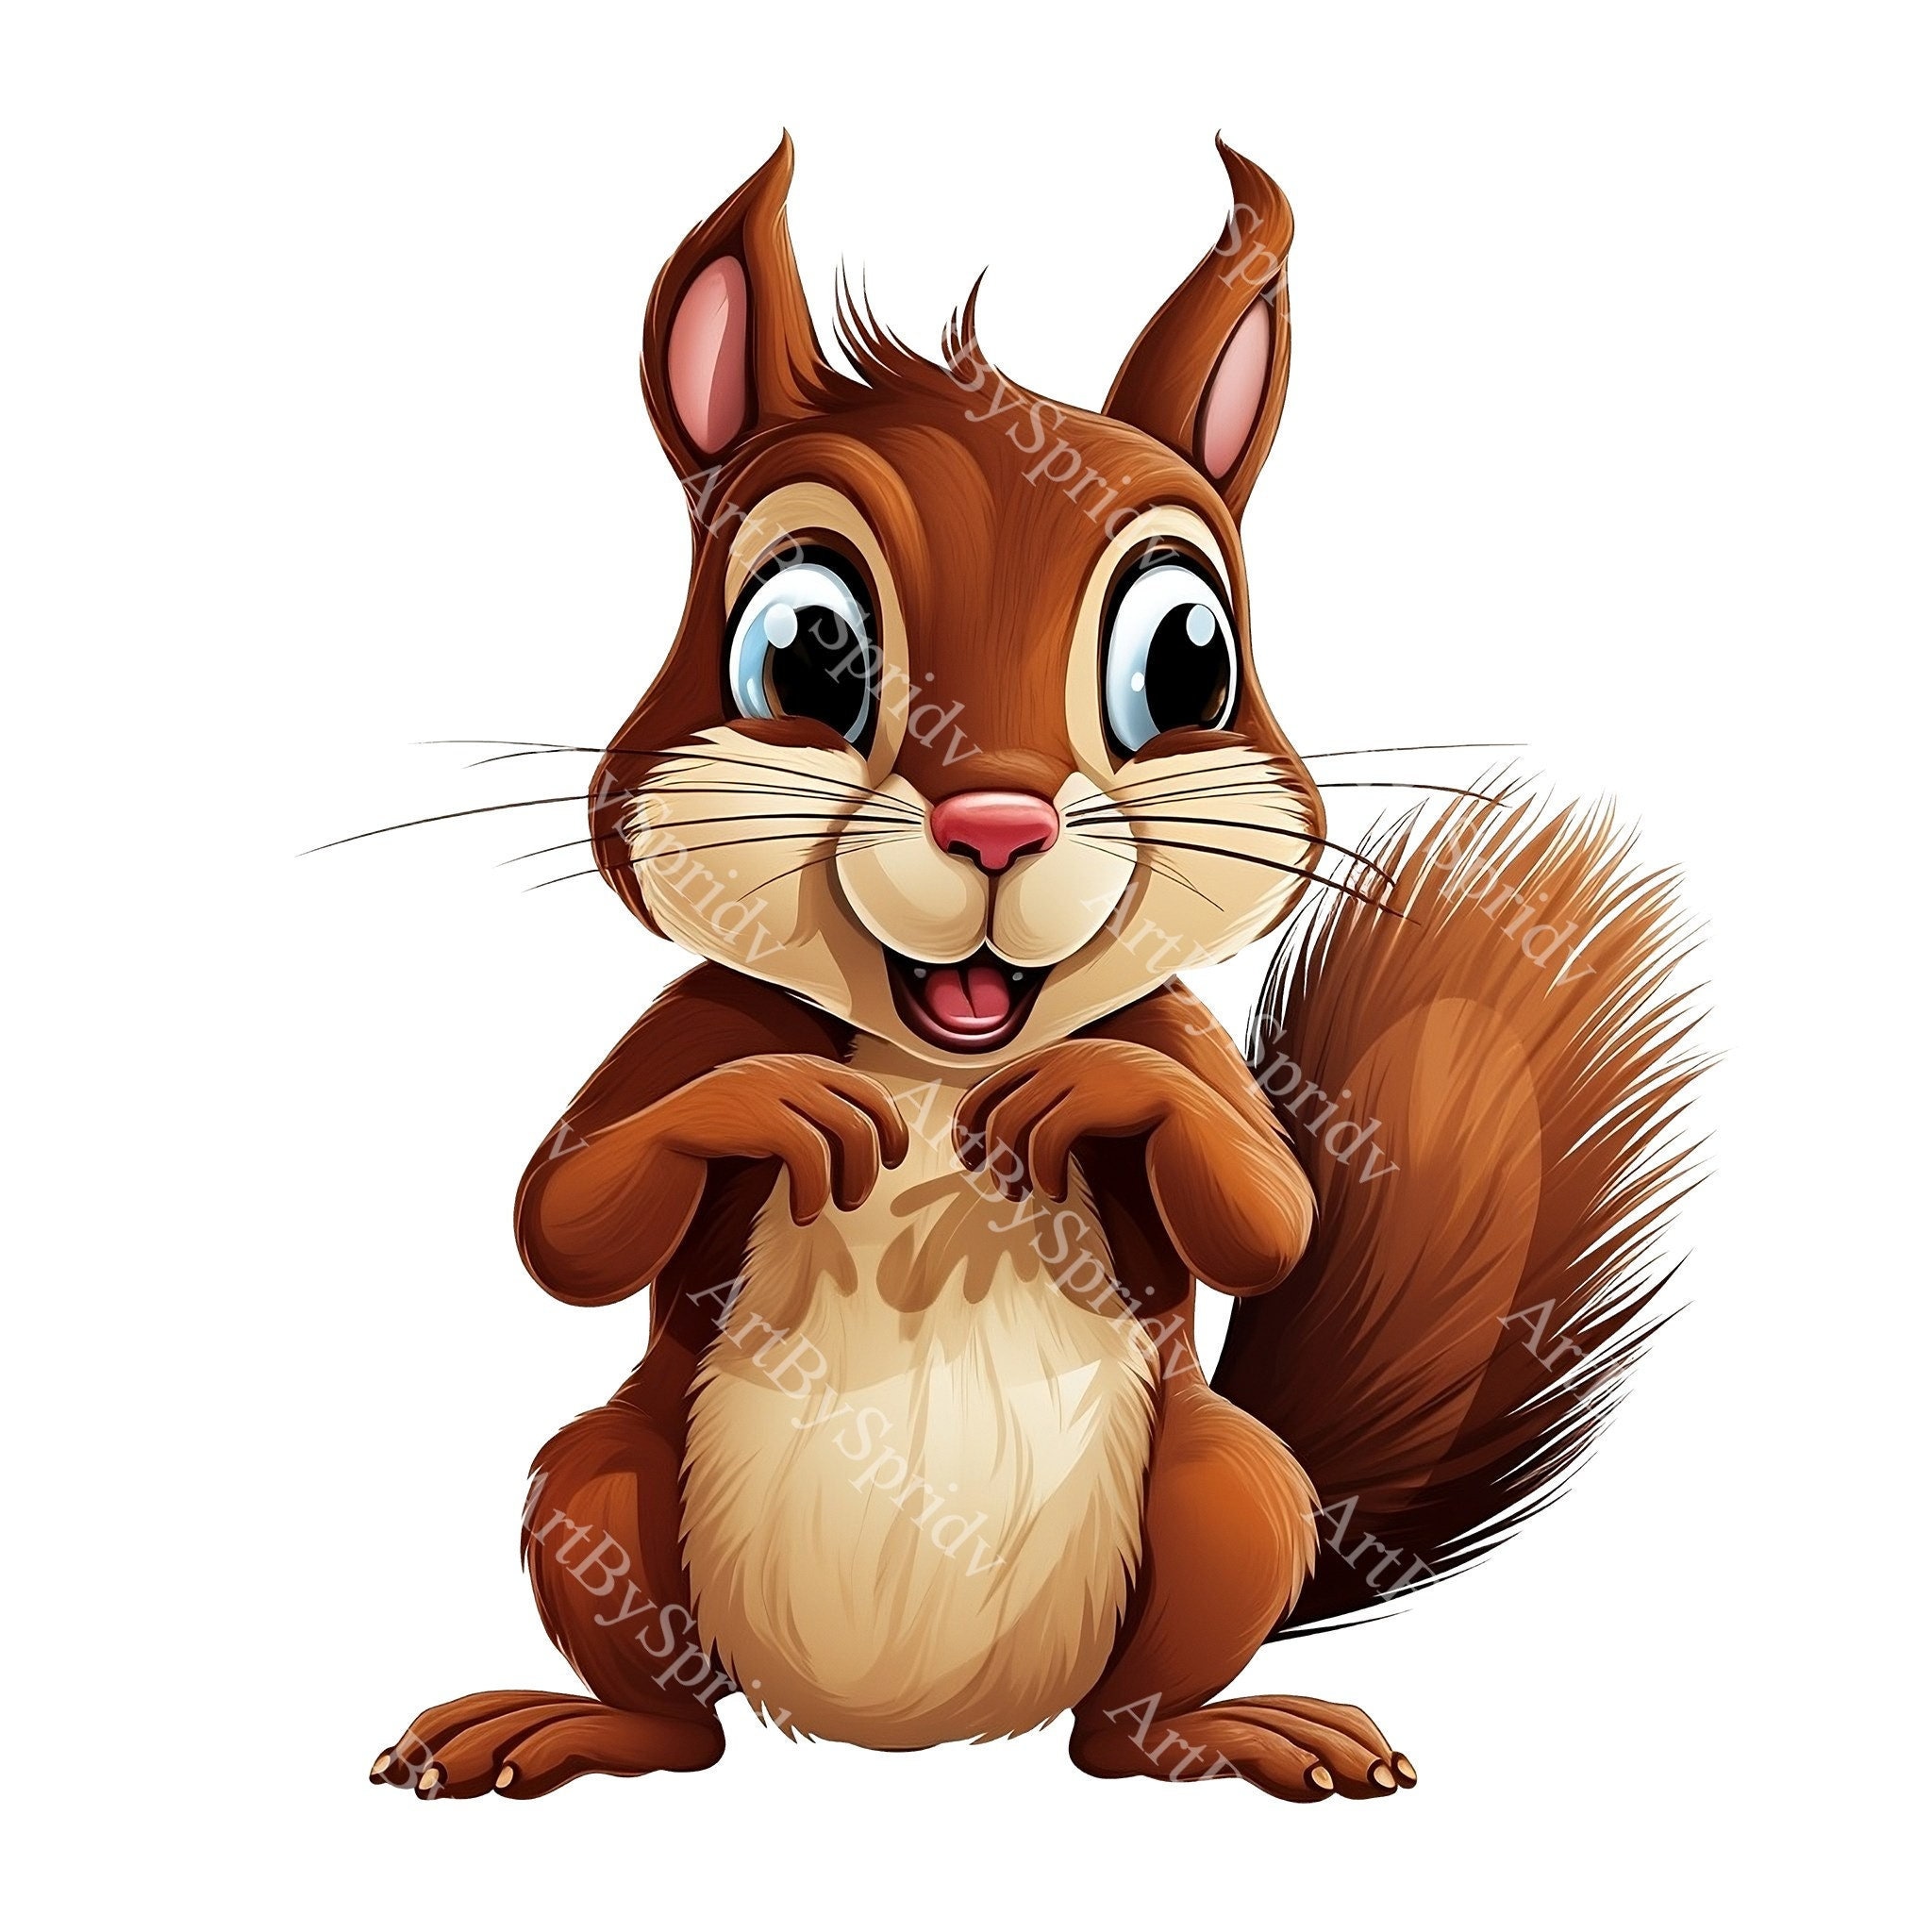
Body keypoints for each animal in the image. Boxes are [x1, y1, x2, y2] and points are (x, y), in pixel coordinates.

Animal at [369, 136, 1699, 1803]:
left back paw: (1228, 1729)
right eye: (802, 649)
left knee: (1123, 1728)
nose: (995, 823)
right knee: (679, 1707)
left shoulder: (1184, 1032)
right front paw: (775, 1105)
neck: (943, 1060)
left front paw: (1092, 1089)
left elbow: (1272, 1217)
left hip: (1224, 1492)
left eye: (1188, 658)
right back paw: (573, 1724)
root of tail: (909, 1727)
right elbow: (562, 1218)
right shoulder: (690, 1018)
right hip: (602, 1488)